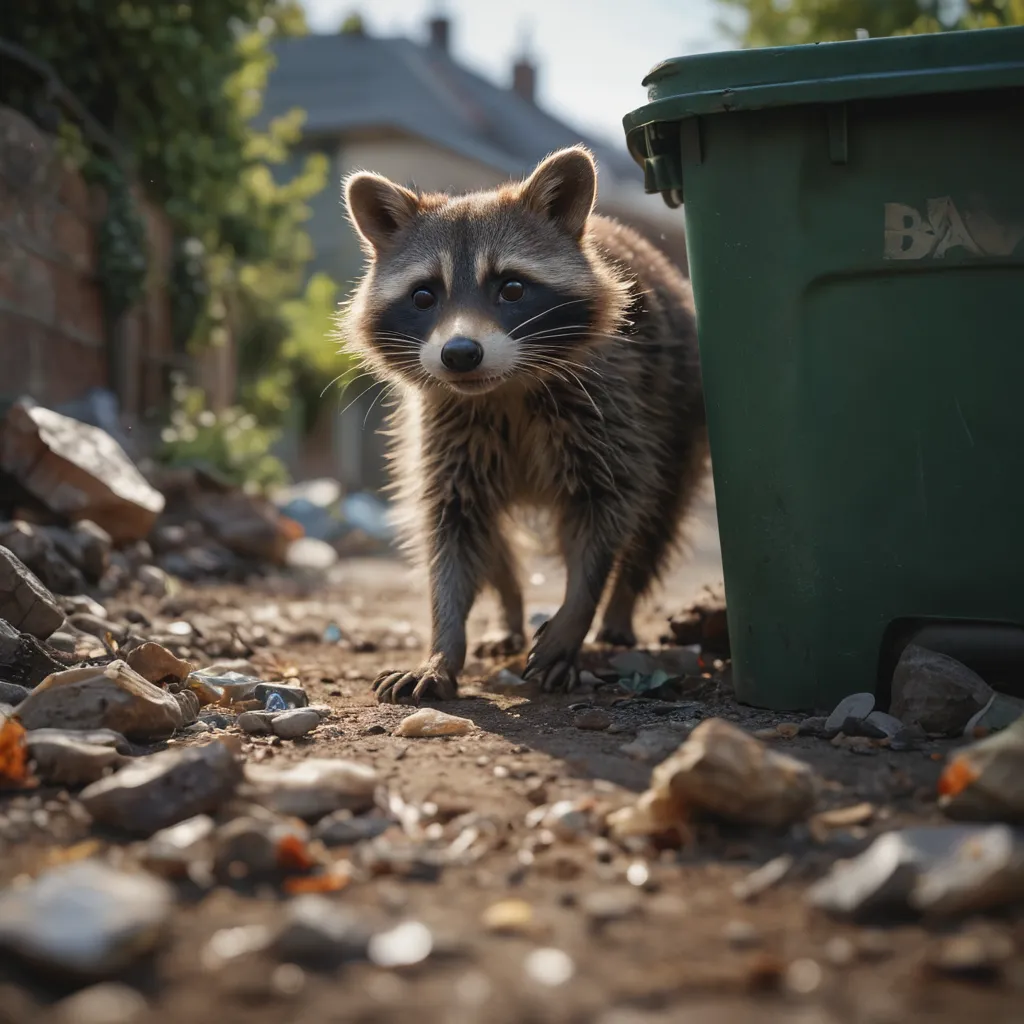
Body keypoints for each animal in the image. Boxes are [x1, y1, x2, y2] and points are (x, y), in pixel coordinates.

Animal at [342, 146, 707, 703]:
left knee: (656, 520)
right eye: (424, 296)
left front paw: (577, 613)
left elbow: (605, 514)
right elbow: (452, 529)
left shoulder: (612, 408)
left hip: (678, 411)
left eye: (512, 287)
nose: (459, 354)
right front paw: (442, 646)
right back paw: (509, 610)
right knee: (491, 541)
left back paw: (620, 607)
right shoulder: (447, 435)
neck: (505, 388)